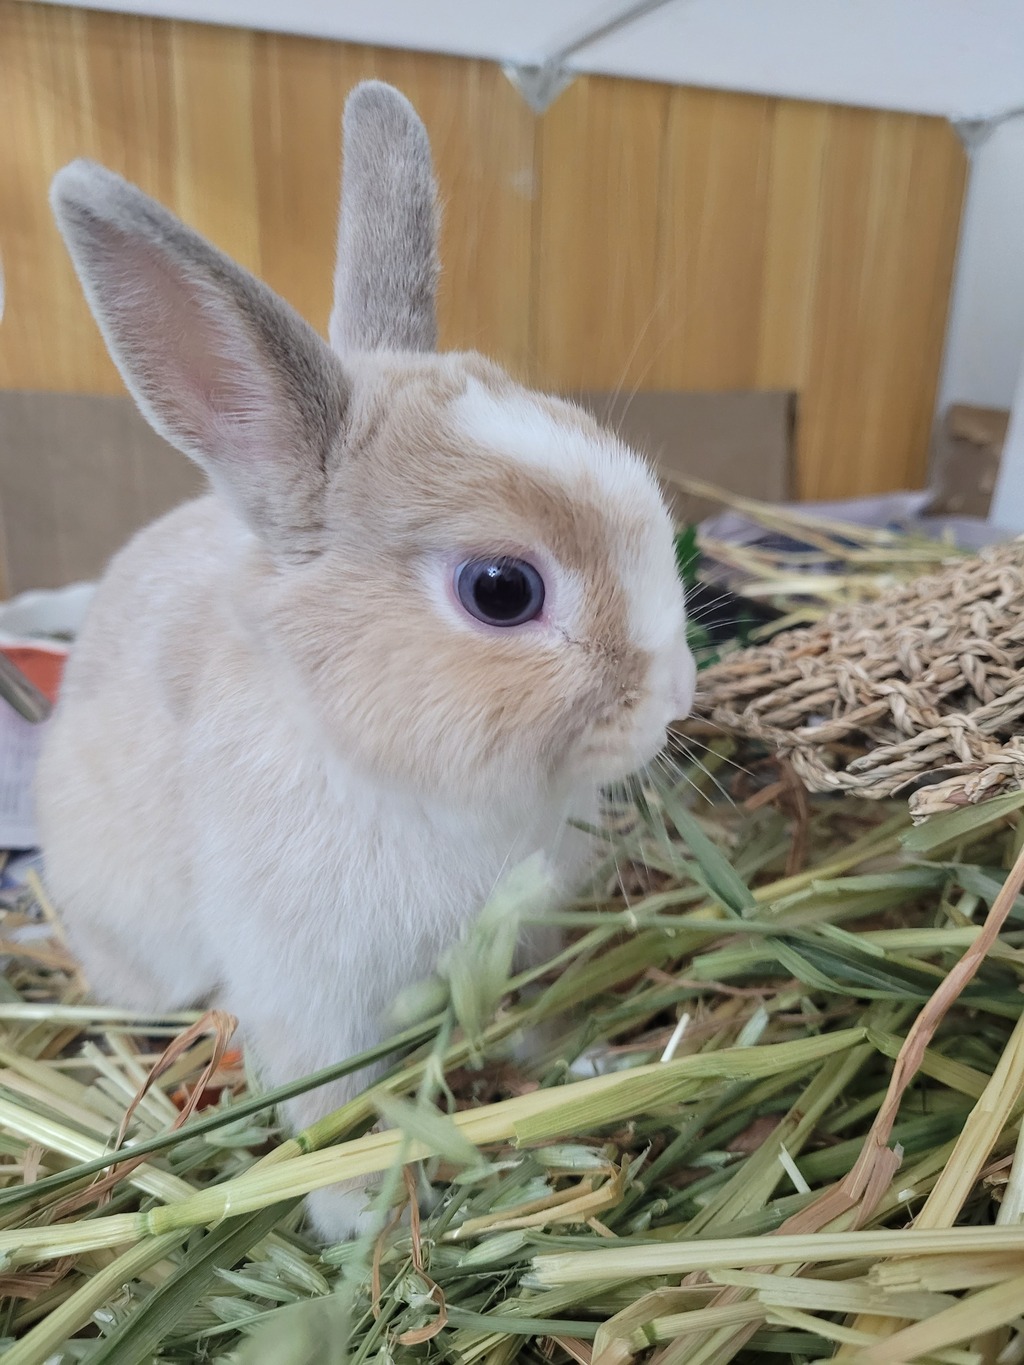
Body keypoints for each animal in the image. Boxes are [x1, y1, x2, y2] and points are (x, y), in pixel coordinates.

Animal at [35, 81, 696, 1241]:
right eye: (501, 590)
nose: (676, 697)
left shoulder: (514, 940)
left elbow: (520, 1018)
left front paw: (579, 1062)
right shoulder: (306, 992)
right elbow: (329, 1108)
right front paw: (356, 1216)